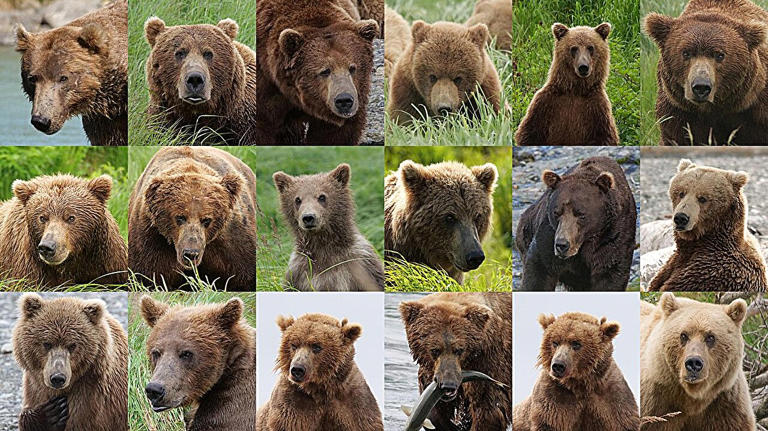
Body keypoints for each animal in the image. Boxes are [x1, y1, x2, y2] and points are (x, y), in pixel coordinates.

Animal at [13, 293, 128, 431]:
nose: (57, 378)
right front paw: (52, 414)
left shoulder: (93, 397)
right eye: (47, 343)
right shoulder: (34, 388)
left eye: (72, 345)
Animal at [128, 146, 257, 290]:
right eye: (180, 217)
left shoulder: (231, 241)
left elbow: (242, 275)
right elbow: (150, 275)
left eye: (207, 219)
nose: (191, 254)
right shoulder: (152, 237)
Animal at [255, 0, 379, 145]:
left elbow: (333, 134)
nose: (344, 100)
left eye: (352, 68)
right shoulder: (266, 83)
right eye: (325, 71)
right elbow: (264, 125)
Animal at [399, 292, 512, 430]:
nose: (448, 385)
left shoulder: (491, 363)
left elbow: (489, 411)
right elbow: (437, 410)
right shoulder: (431, 372)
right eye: (435, 350)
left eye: (459, 349)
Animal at [516, 156, 637, 291]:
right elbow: (539, 271)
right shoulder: (549, 235)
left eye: (581, 214)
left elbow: (610, 275)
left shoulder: (613, 236)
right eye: (556, 213)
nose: (562, 245)